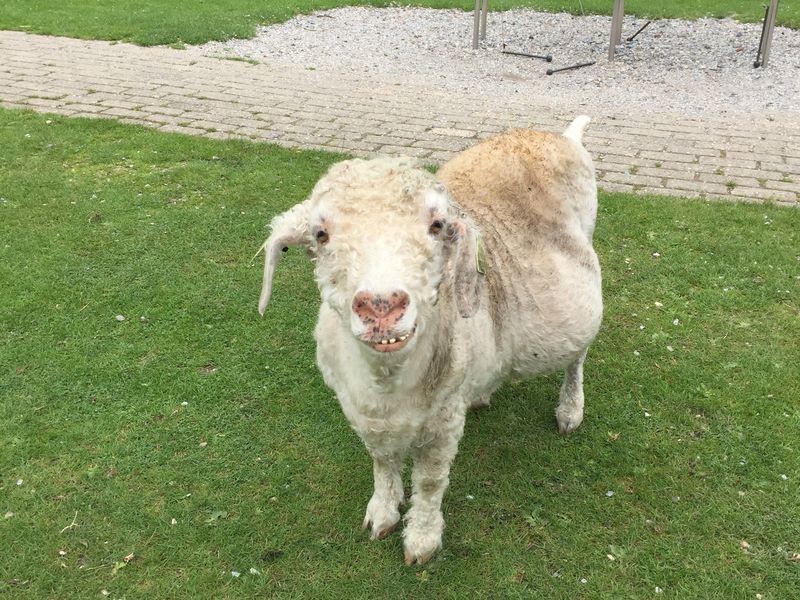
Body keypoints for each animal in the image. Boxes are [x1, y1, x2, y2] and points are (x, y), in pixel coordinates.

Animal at [257, 115, 602, 565]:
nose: (382, 306)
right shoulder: (362, 412)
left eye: (436, 226)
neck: (388, 383)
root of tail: (558, 135)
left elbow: (430, 482)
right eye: (320, 234)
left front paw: (421, 539)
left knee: (577, 357)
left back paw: (570, 409)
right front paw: (383, 512)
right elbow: (382, 461)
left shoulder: (443, 423)